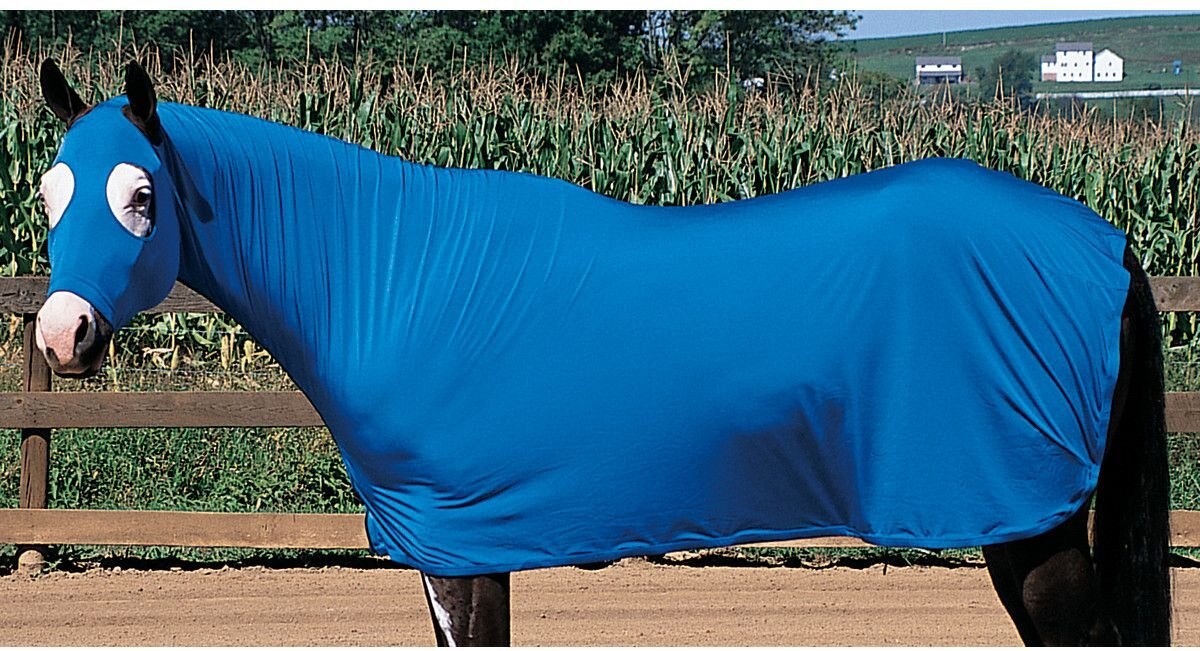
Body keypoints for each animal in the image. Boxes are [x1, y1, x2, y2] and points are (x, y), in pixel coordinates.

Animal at [31, 59, 1169, 646]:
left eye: (140, 196)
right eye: (46, 191)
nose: (60, 335)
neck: (395, 281)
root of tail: (1105, 242)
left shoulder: (464, 544)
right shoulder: (448, 550)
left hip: (1028, 527)